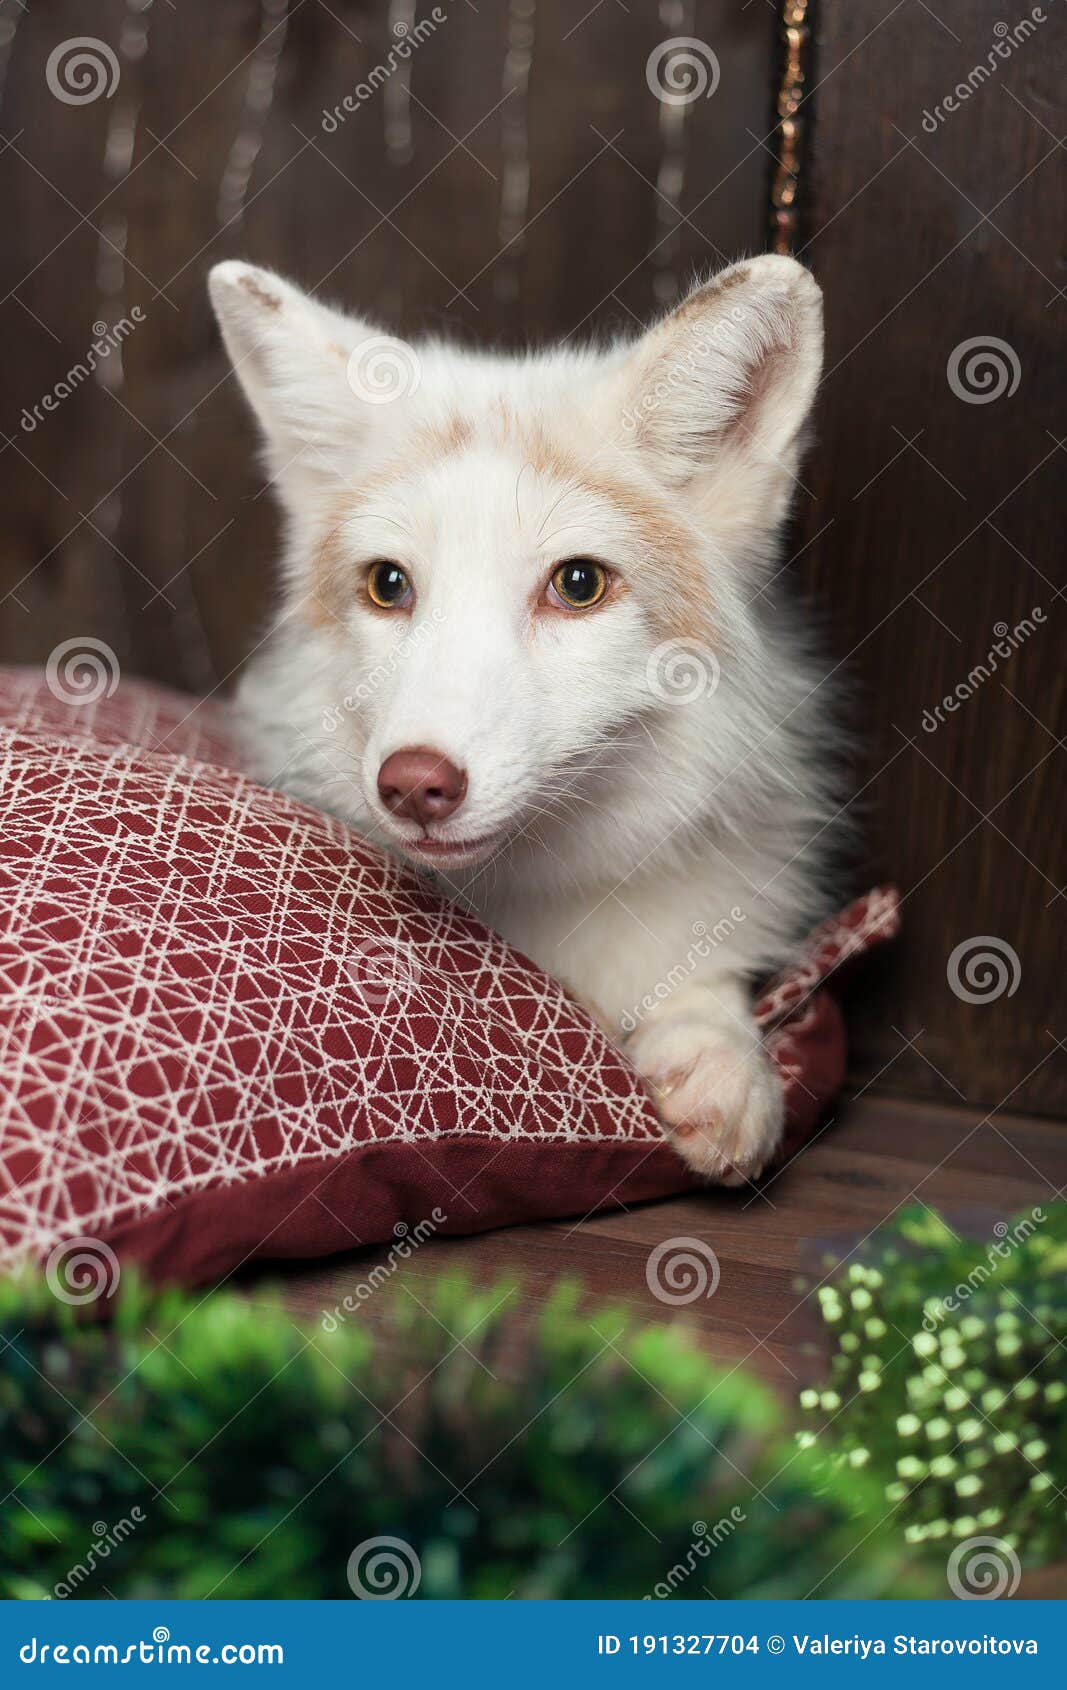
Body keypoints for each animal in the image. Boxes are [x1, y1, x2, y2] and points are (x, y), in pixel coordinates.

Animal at [209, 253, 839, 1188]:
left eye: (578, 584)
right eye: (387, 585)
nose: (415, 785)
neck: (540, 904)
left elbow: (699, 983)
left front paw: (718, 1057)